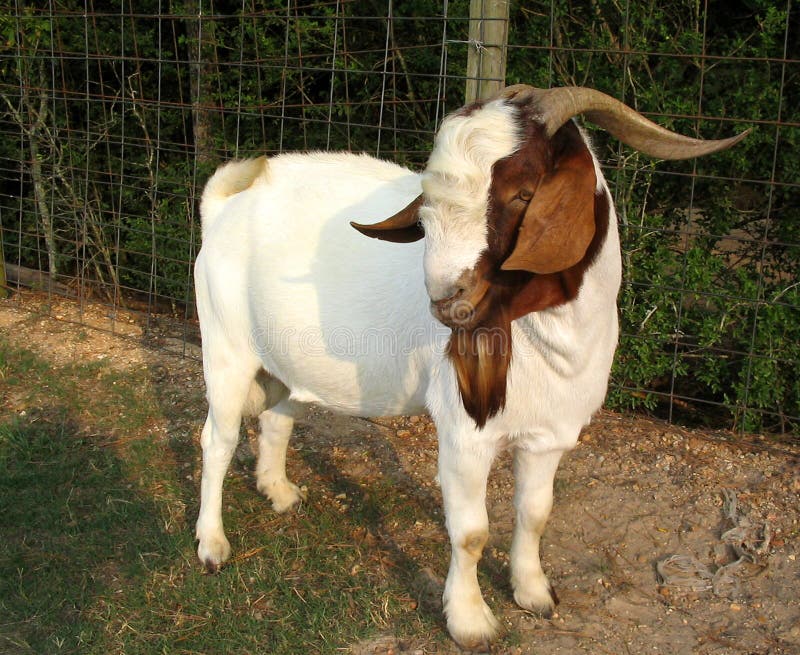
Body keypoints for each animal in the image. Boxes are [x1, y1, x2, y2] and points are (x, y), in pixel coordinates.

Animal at [194, 85, 747, 650]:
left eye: (523, 192)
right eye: (424, 213)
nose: (445, 298)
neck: (546, 339)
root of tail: (222, 206)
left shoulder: (550, 434)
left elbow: (535, 514)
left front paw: (533, 592)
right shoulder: (465, 432)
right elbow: (472, 532)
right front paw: (470, 620)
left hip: (284, 359)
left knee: (279, 416)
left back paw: (280, 493)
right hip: (225, 344)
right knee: (218, 438)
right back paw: (212, 545)